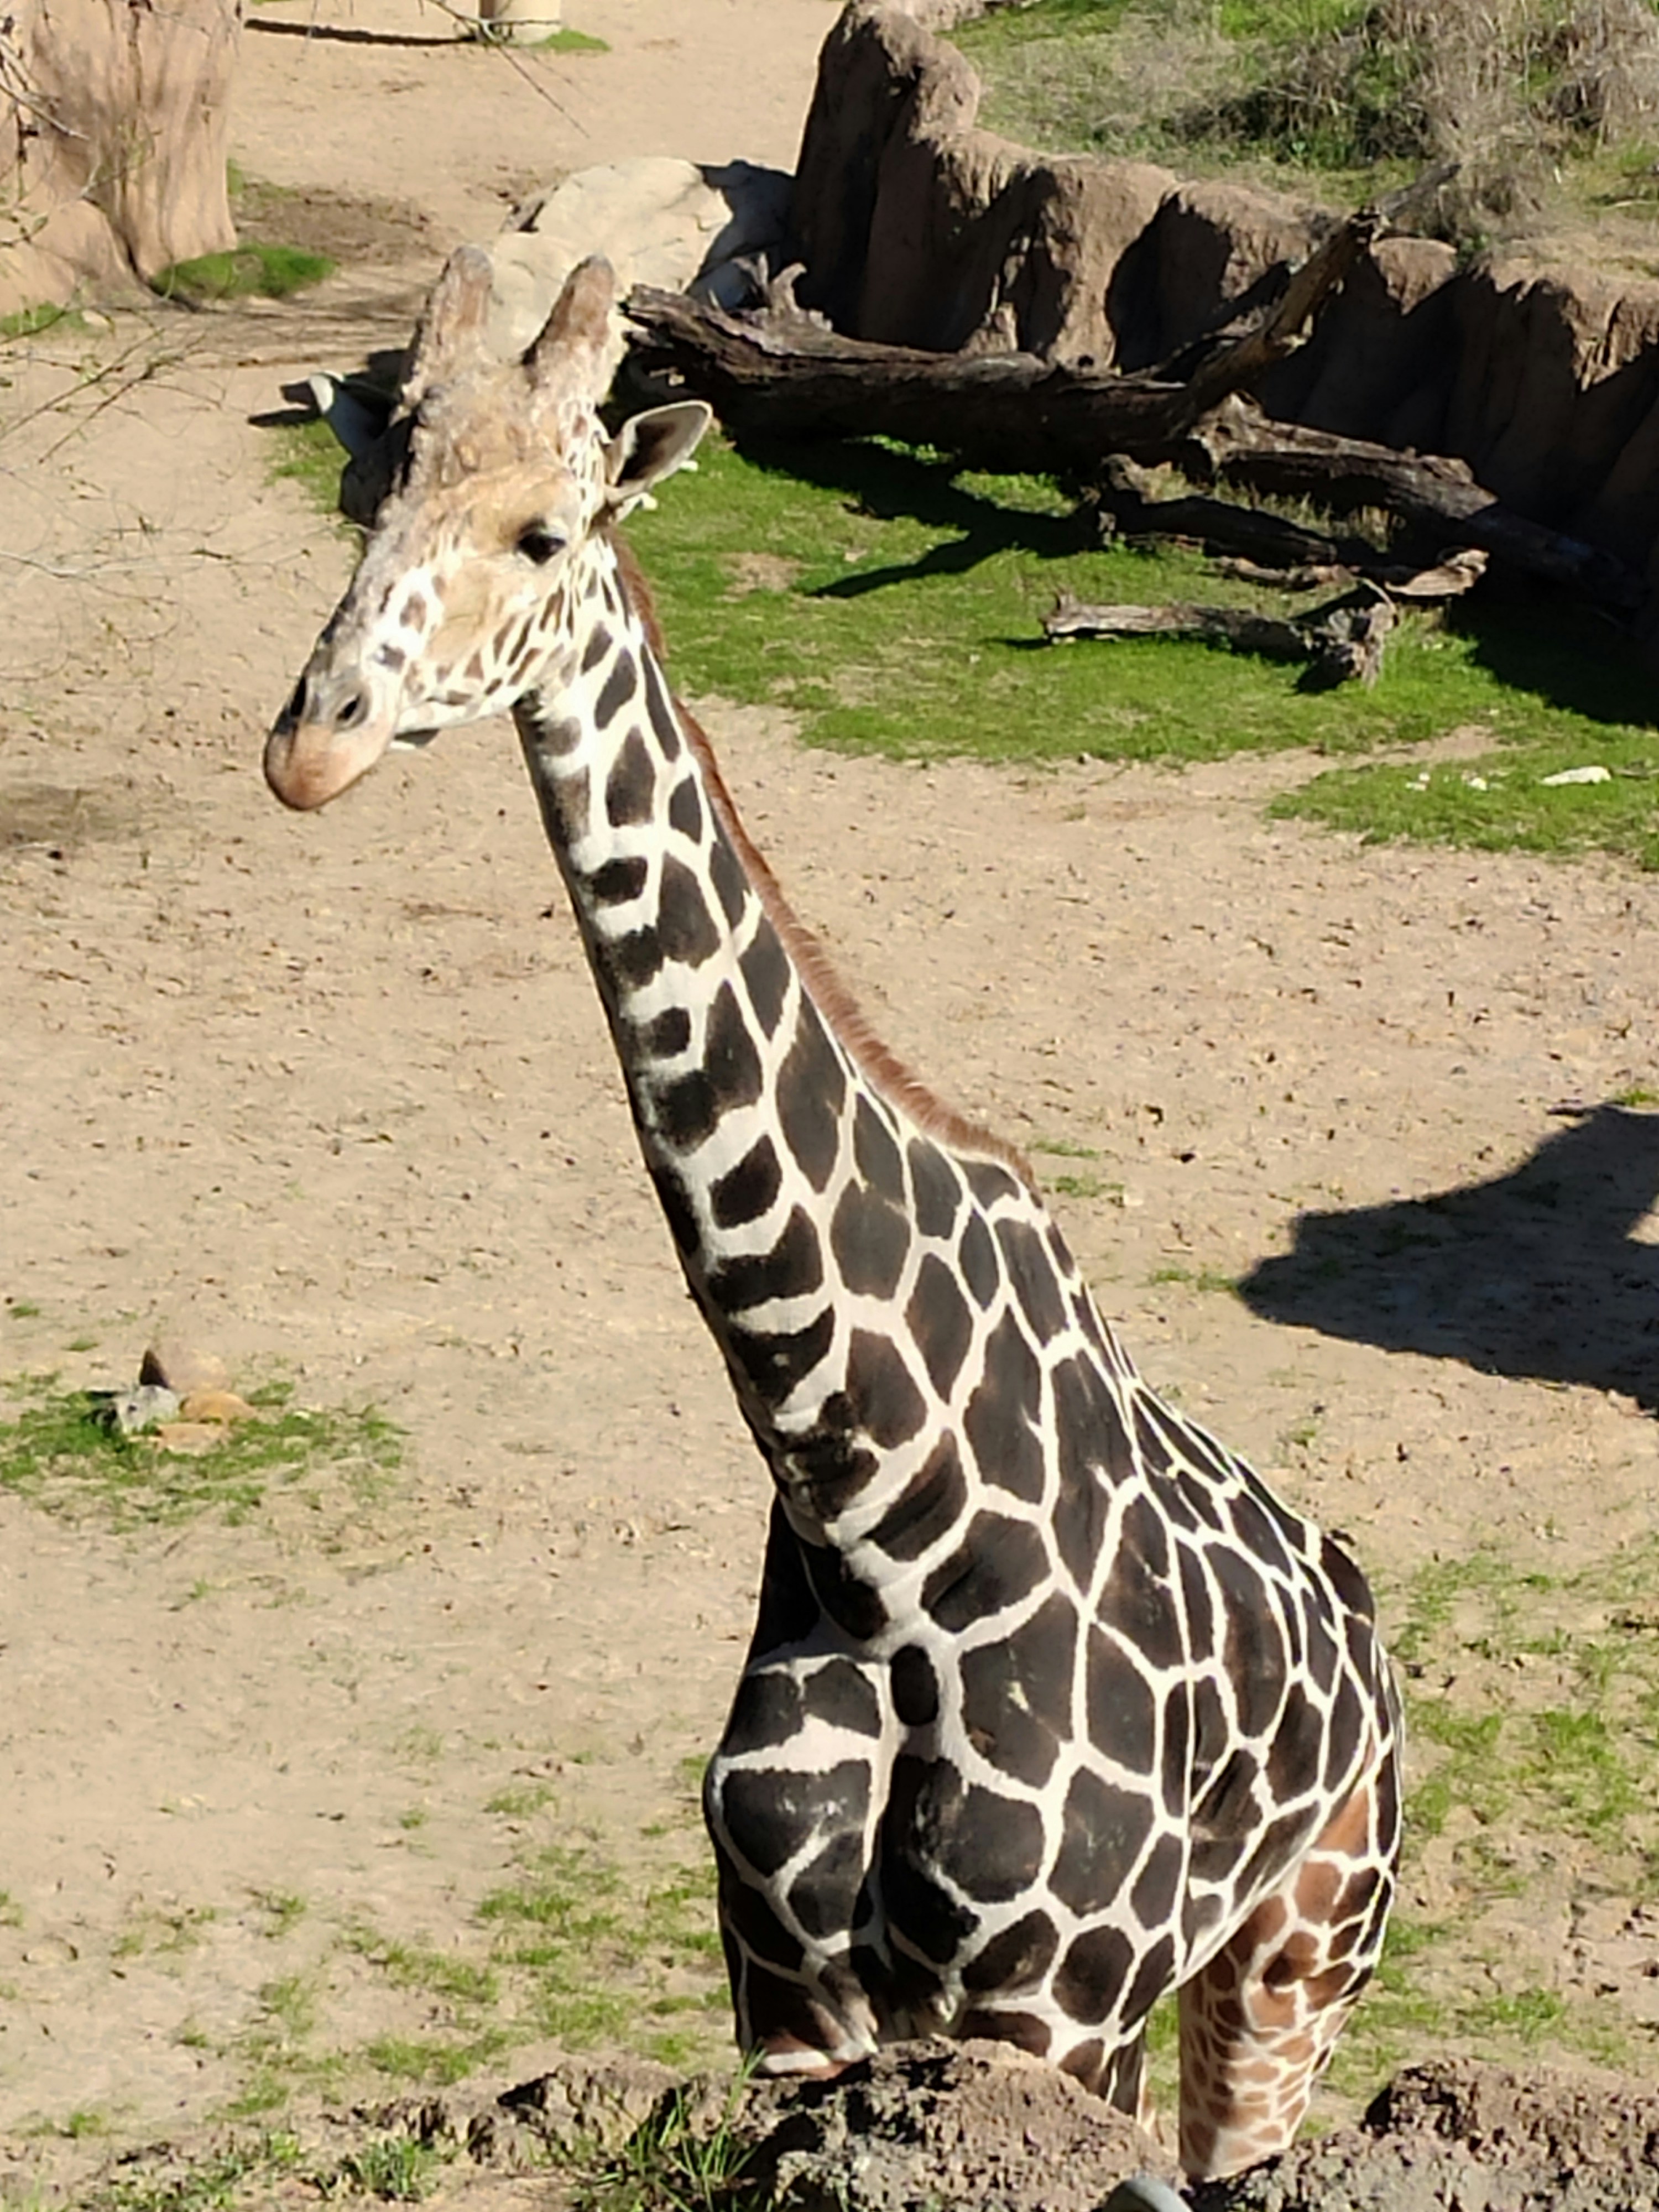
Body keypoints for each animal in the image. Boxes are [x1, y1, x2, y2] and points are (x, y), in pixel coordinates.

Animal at [265, 248, 1402, 2183]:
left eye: (548, 531)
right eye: (372, 494)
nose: (308, 750)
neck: (875, 1525)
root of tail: (1371, 1633)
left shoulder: (1054, 2011)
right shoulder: (789, 2006)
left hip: (1294, 1961)